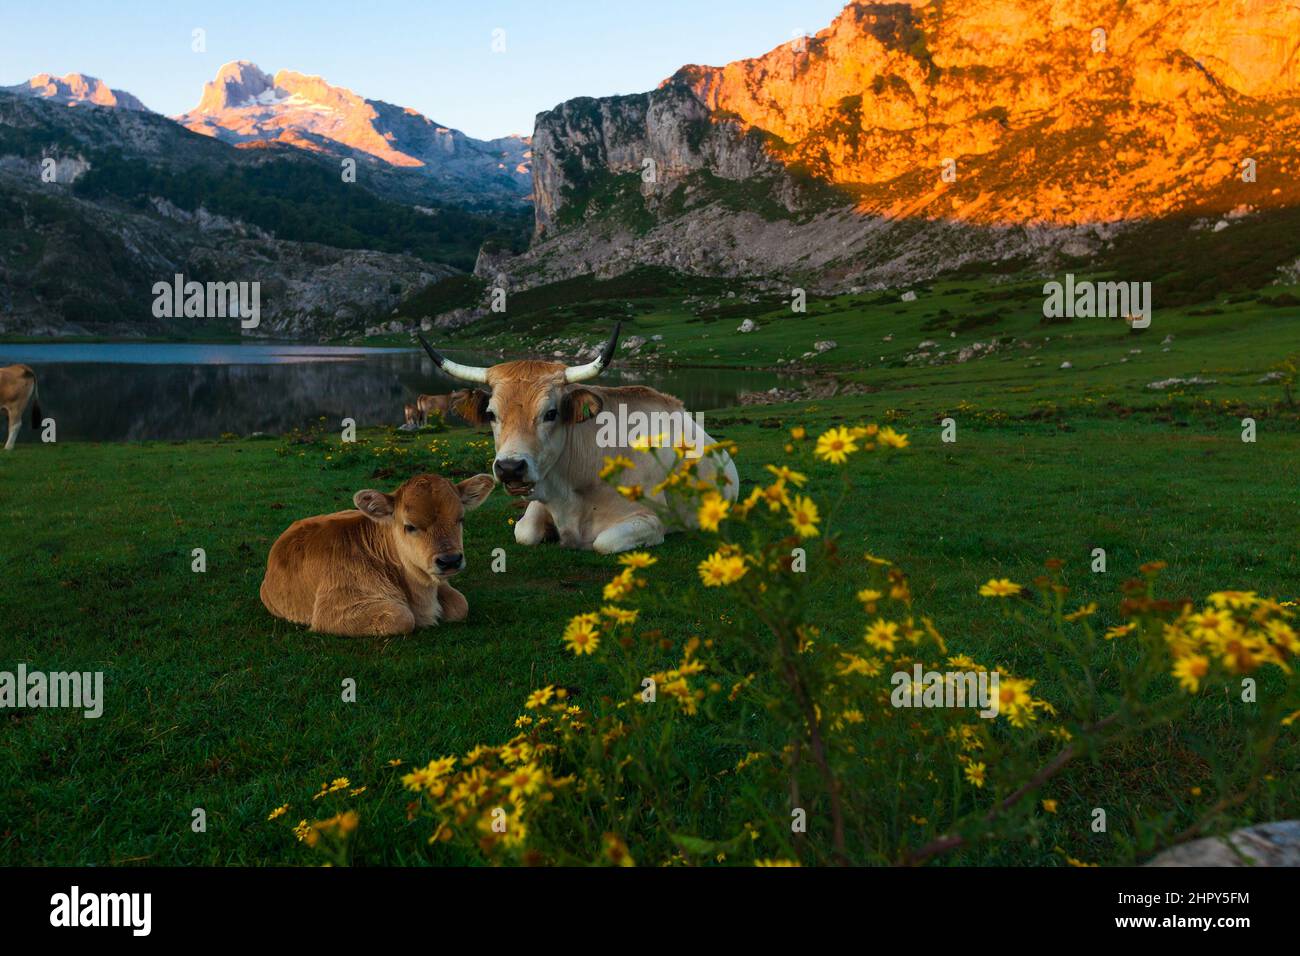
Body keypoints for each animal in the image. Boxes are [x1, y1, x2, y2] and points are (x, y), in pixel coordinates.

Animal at [259, 472, 495, 637]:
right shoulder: (331, 611)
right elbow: (403, 618)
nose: (450, 560)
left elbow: (460, 604)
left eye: (460, 518)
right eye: (409, 526)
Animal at [416, 325, 740, 554]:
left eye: (551, 413)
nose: (509, 468)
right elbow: (524, 532)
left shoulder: (651, 518)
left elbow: (604, 542)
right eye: (491, 414)